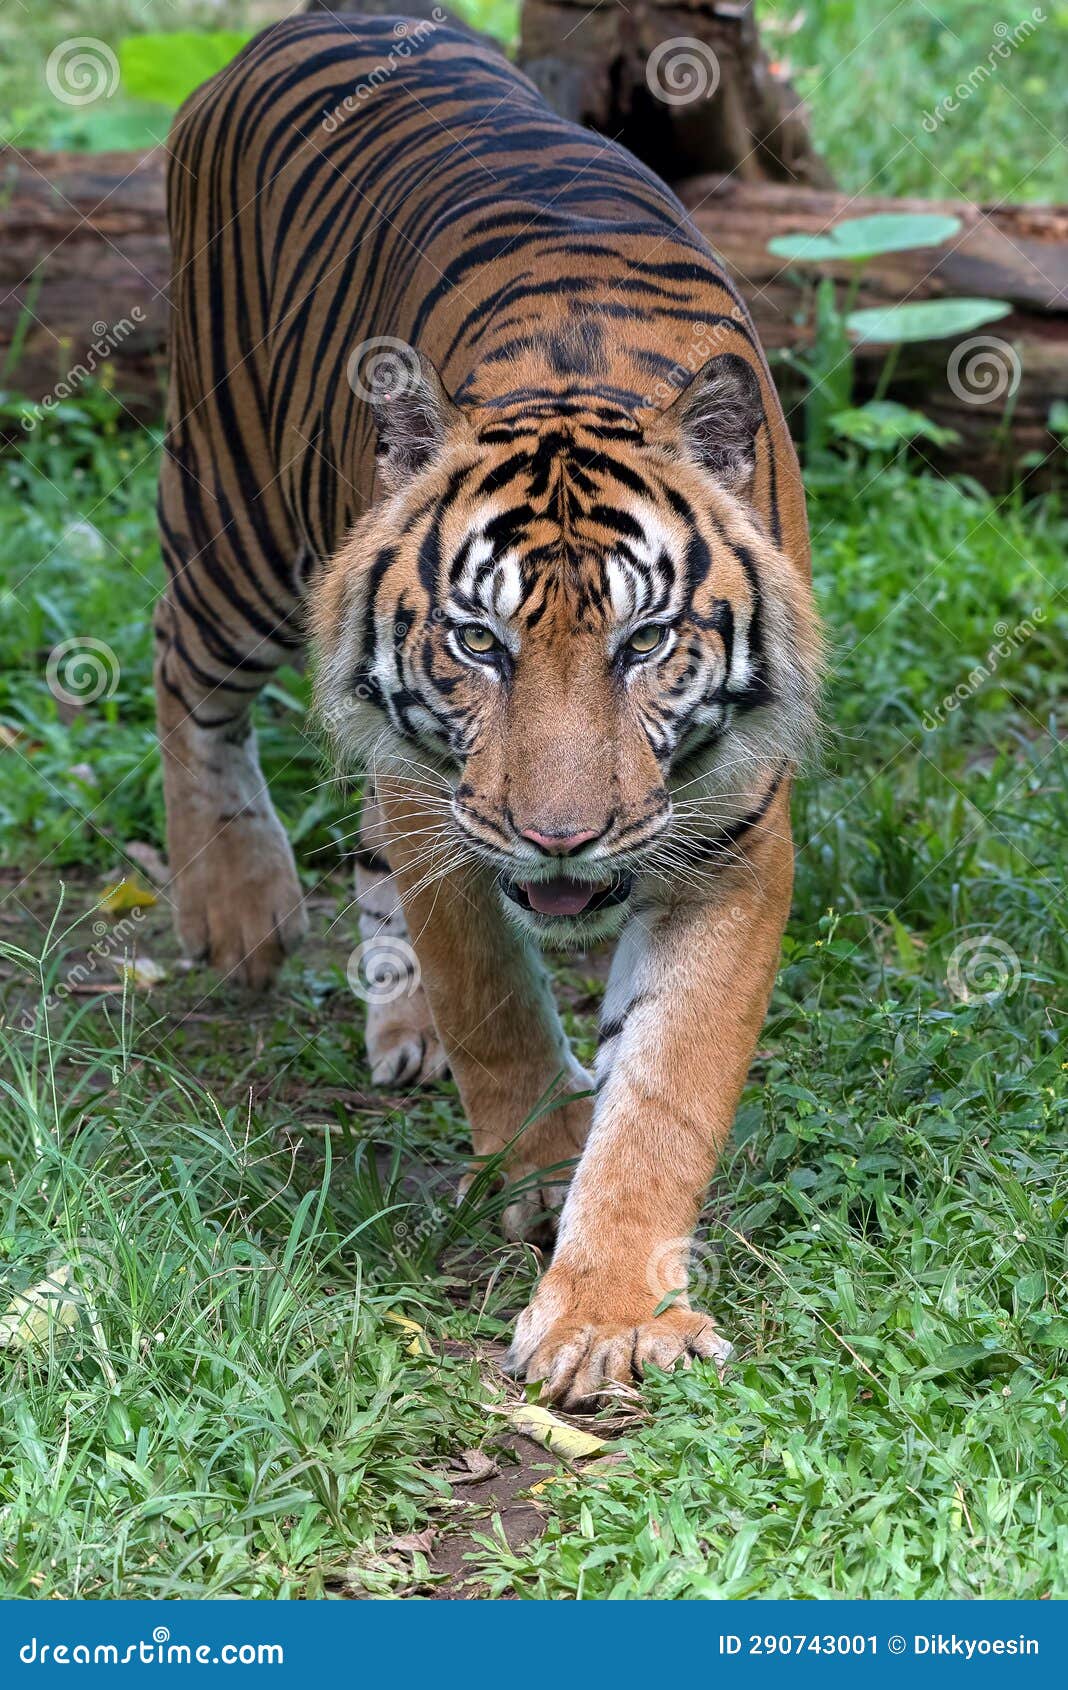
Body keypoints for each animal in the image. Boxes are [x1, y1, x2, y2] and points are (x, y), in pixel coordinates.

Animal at [156, 11, 821, 1408]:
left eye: (644, 644)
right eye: (479, 642)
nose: (561, 840)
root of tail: (305, 24)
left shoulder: (733, 841)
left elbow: (667, 1087)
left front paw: (610, 1310)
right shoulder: (441, 806)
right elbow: (500, 1004)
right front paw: (544, 1158)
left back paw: (397, 1022)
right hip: (237, 525)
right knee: (179, 661)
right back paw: (236, 901)